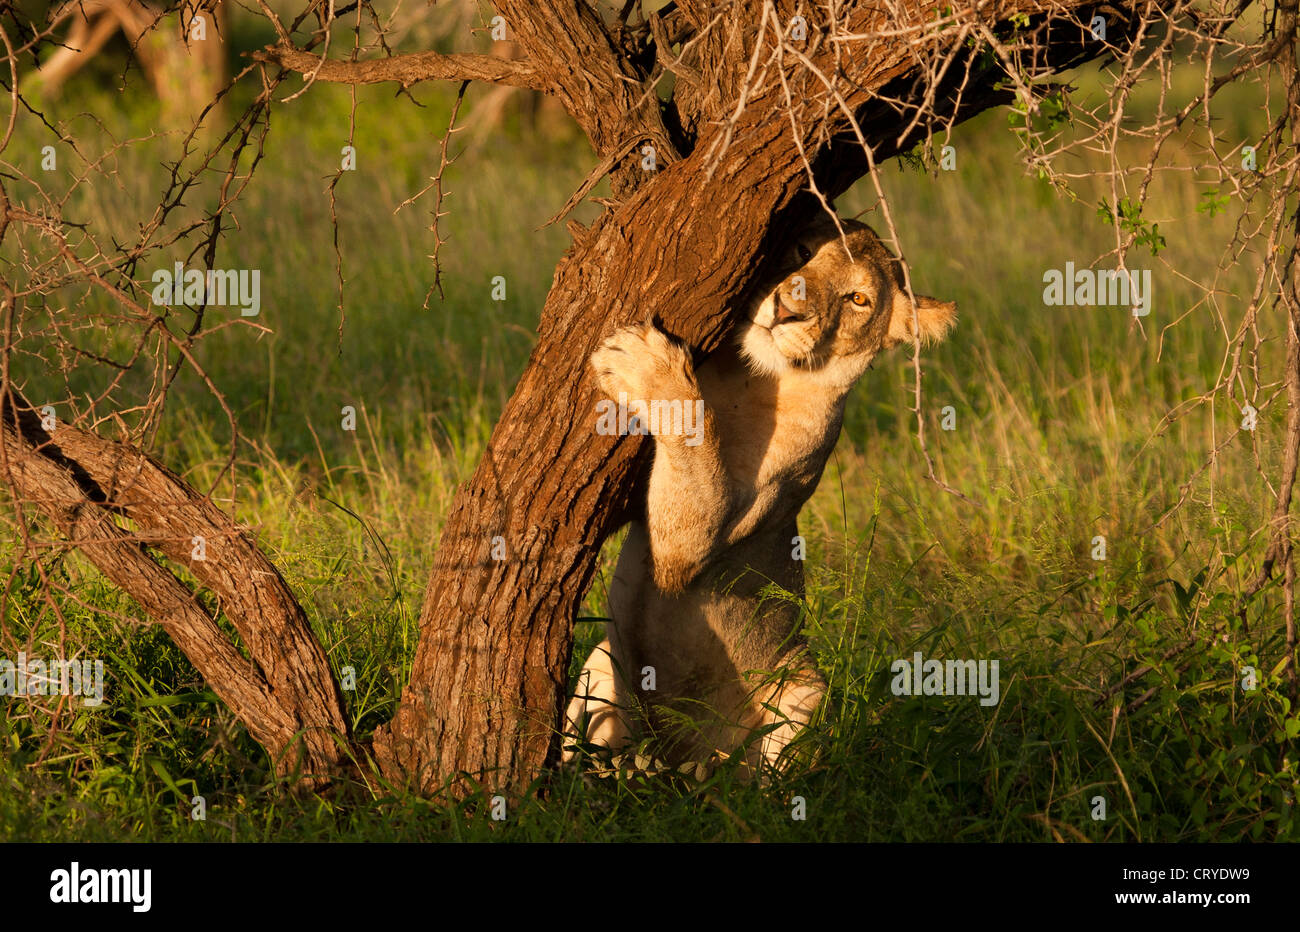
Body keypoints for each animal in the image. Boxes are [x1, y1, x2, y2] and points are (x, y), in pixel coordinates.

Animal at [564, 215, 957, 778]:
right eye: (803, 250)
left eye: (858, 299)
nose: (789, 309)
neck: (751, 375)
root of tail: (680, 757)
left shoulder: (699, 541)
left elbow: (695, 433)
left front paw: (642, 362)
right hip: (600, 663)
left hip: (804, 687)